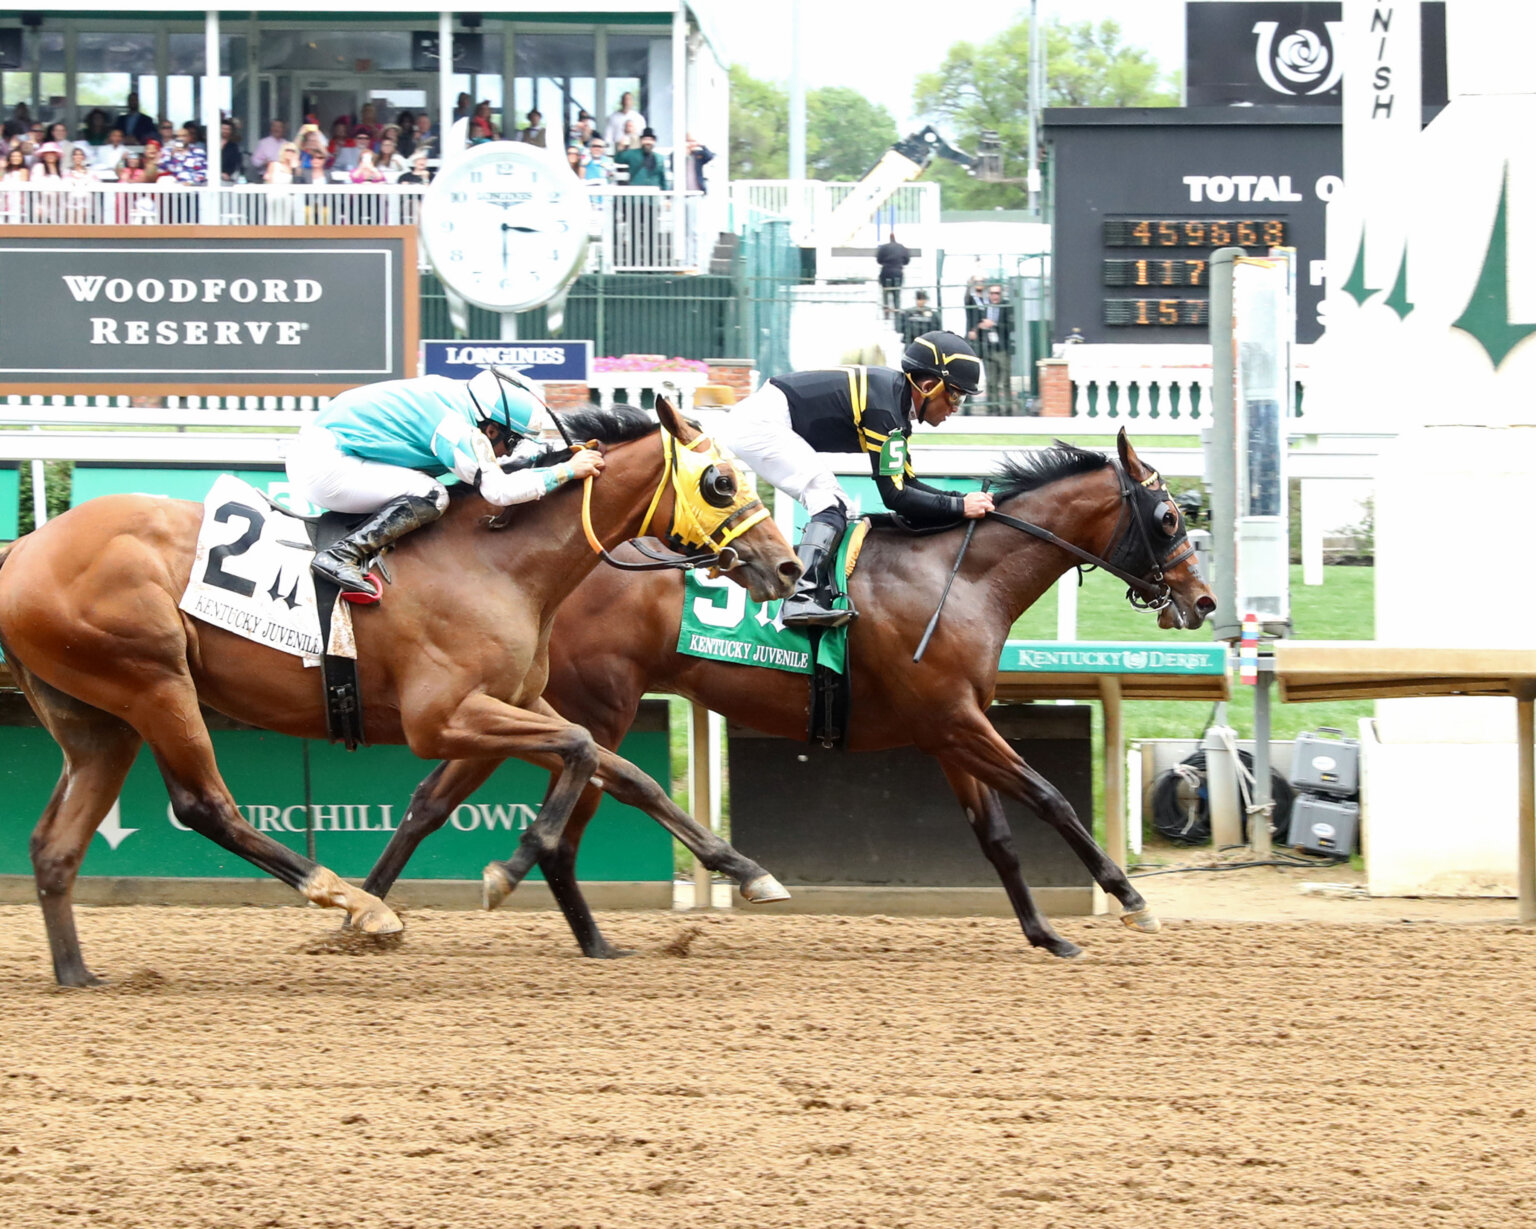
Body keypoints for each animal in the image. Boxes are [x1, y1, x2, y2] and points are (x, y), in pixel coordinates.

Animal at [0, 399, 801, 986]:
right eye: (721, 482)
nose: (789, 567)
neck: (496, 559)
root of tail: (25, 548)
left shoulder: (517, 701)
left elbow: (629, 773)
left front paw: (748, 870)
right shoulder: (442, 717)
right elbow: (578, 750)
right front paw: (511, 866)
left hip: (98, 718)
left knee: (54, 846)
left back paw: (78, 974)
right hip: (154, 682)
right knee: (204, 806)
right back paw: (354, 901)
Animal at [359, 430, 1216, 959]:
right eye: (1170, 515)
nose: (1203, 601)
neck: (962, 575)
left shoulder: (949, 730)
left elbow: (999, 836)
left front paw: (1047, 933)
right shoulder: (958, 720)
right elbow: (1052, 797)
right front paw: (1129, 896)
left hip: (524, 704)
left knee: (452, 802)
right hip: (590, 705)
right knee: (555, 815)